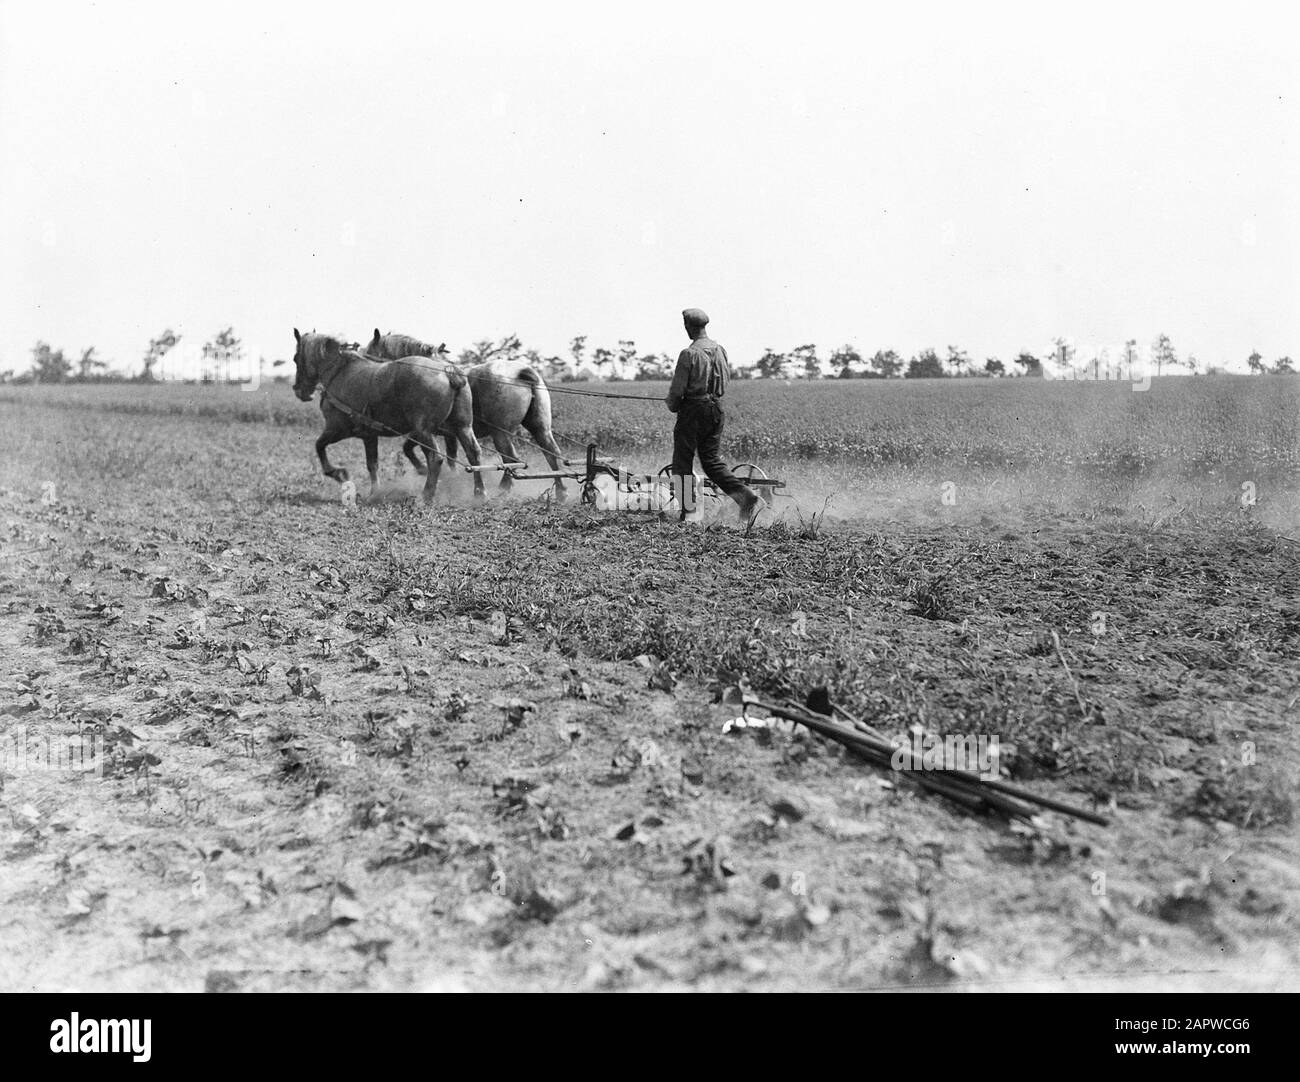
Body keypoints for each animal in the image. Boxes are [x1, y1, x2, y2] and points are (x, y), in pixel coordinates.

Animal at [291, 329, 484, 501]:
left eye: (295, 358)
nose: (300, 391)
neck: (339, 371)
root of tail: (448, 370)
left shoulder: (336, 429)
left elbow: (319, 446)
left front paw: (339, 474)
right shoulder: (369, 436)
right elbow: (373, 464)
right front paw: (374, 492)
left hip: (425, 431)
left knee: (435, 458)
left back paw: (427, 495)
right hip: (462, 427)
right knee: (473, 453)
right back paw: (479, 492)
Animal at [365, 329, 568, 501]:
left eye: (370, 351)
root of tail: (522, 372)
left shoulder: (423, 430)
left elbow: (410, 449)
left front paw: (425, 471)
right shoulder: (451, 434)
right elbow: (451, 457)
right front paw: (453, 478)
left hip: (500, 433)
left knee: (512, 459)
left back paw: (503, 489)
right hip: (540, 428)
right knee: (551, 453)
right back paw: (561, 491)